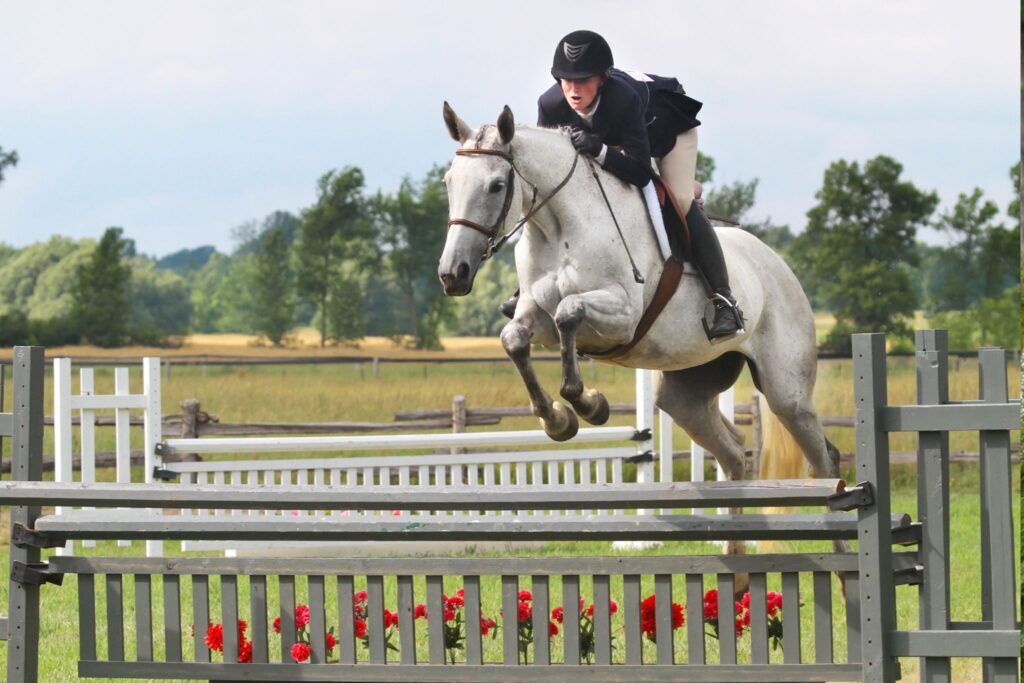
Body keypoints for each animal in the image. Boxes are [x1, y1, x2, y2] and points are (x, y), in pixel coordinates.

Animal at [437, 104, 842, 563]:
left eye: (497, 185)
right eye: (449, 182)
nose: (452, 274)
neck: (559, 227)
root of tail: (777, 263)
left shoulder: (623, 313)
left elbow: (568, 313)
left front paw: (589, 405)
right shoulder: (532, 314)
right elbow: (515, 340)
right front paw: (557, 420)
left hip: (787, 391)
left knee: (823, 457)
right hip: (684, 394)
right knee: (734, 452)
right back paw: (736, 563)